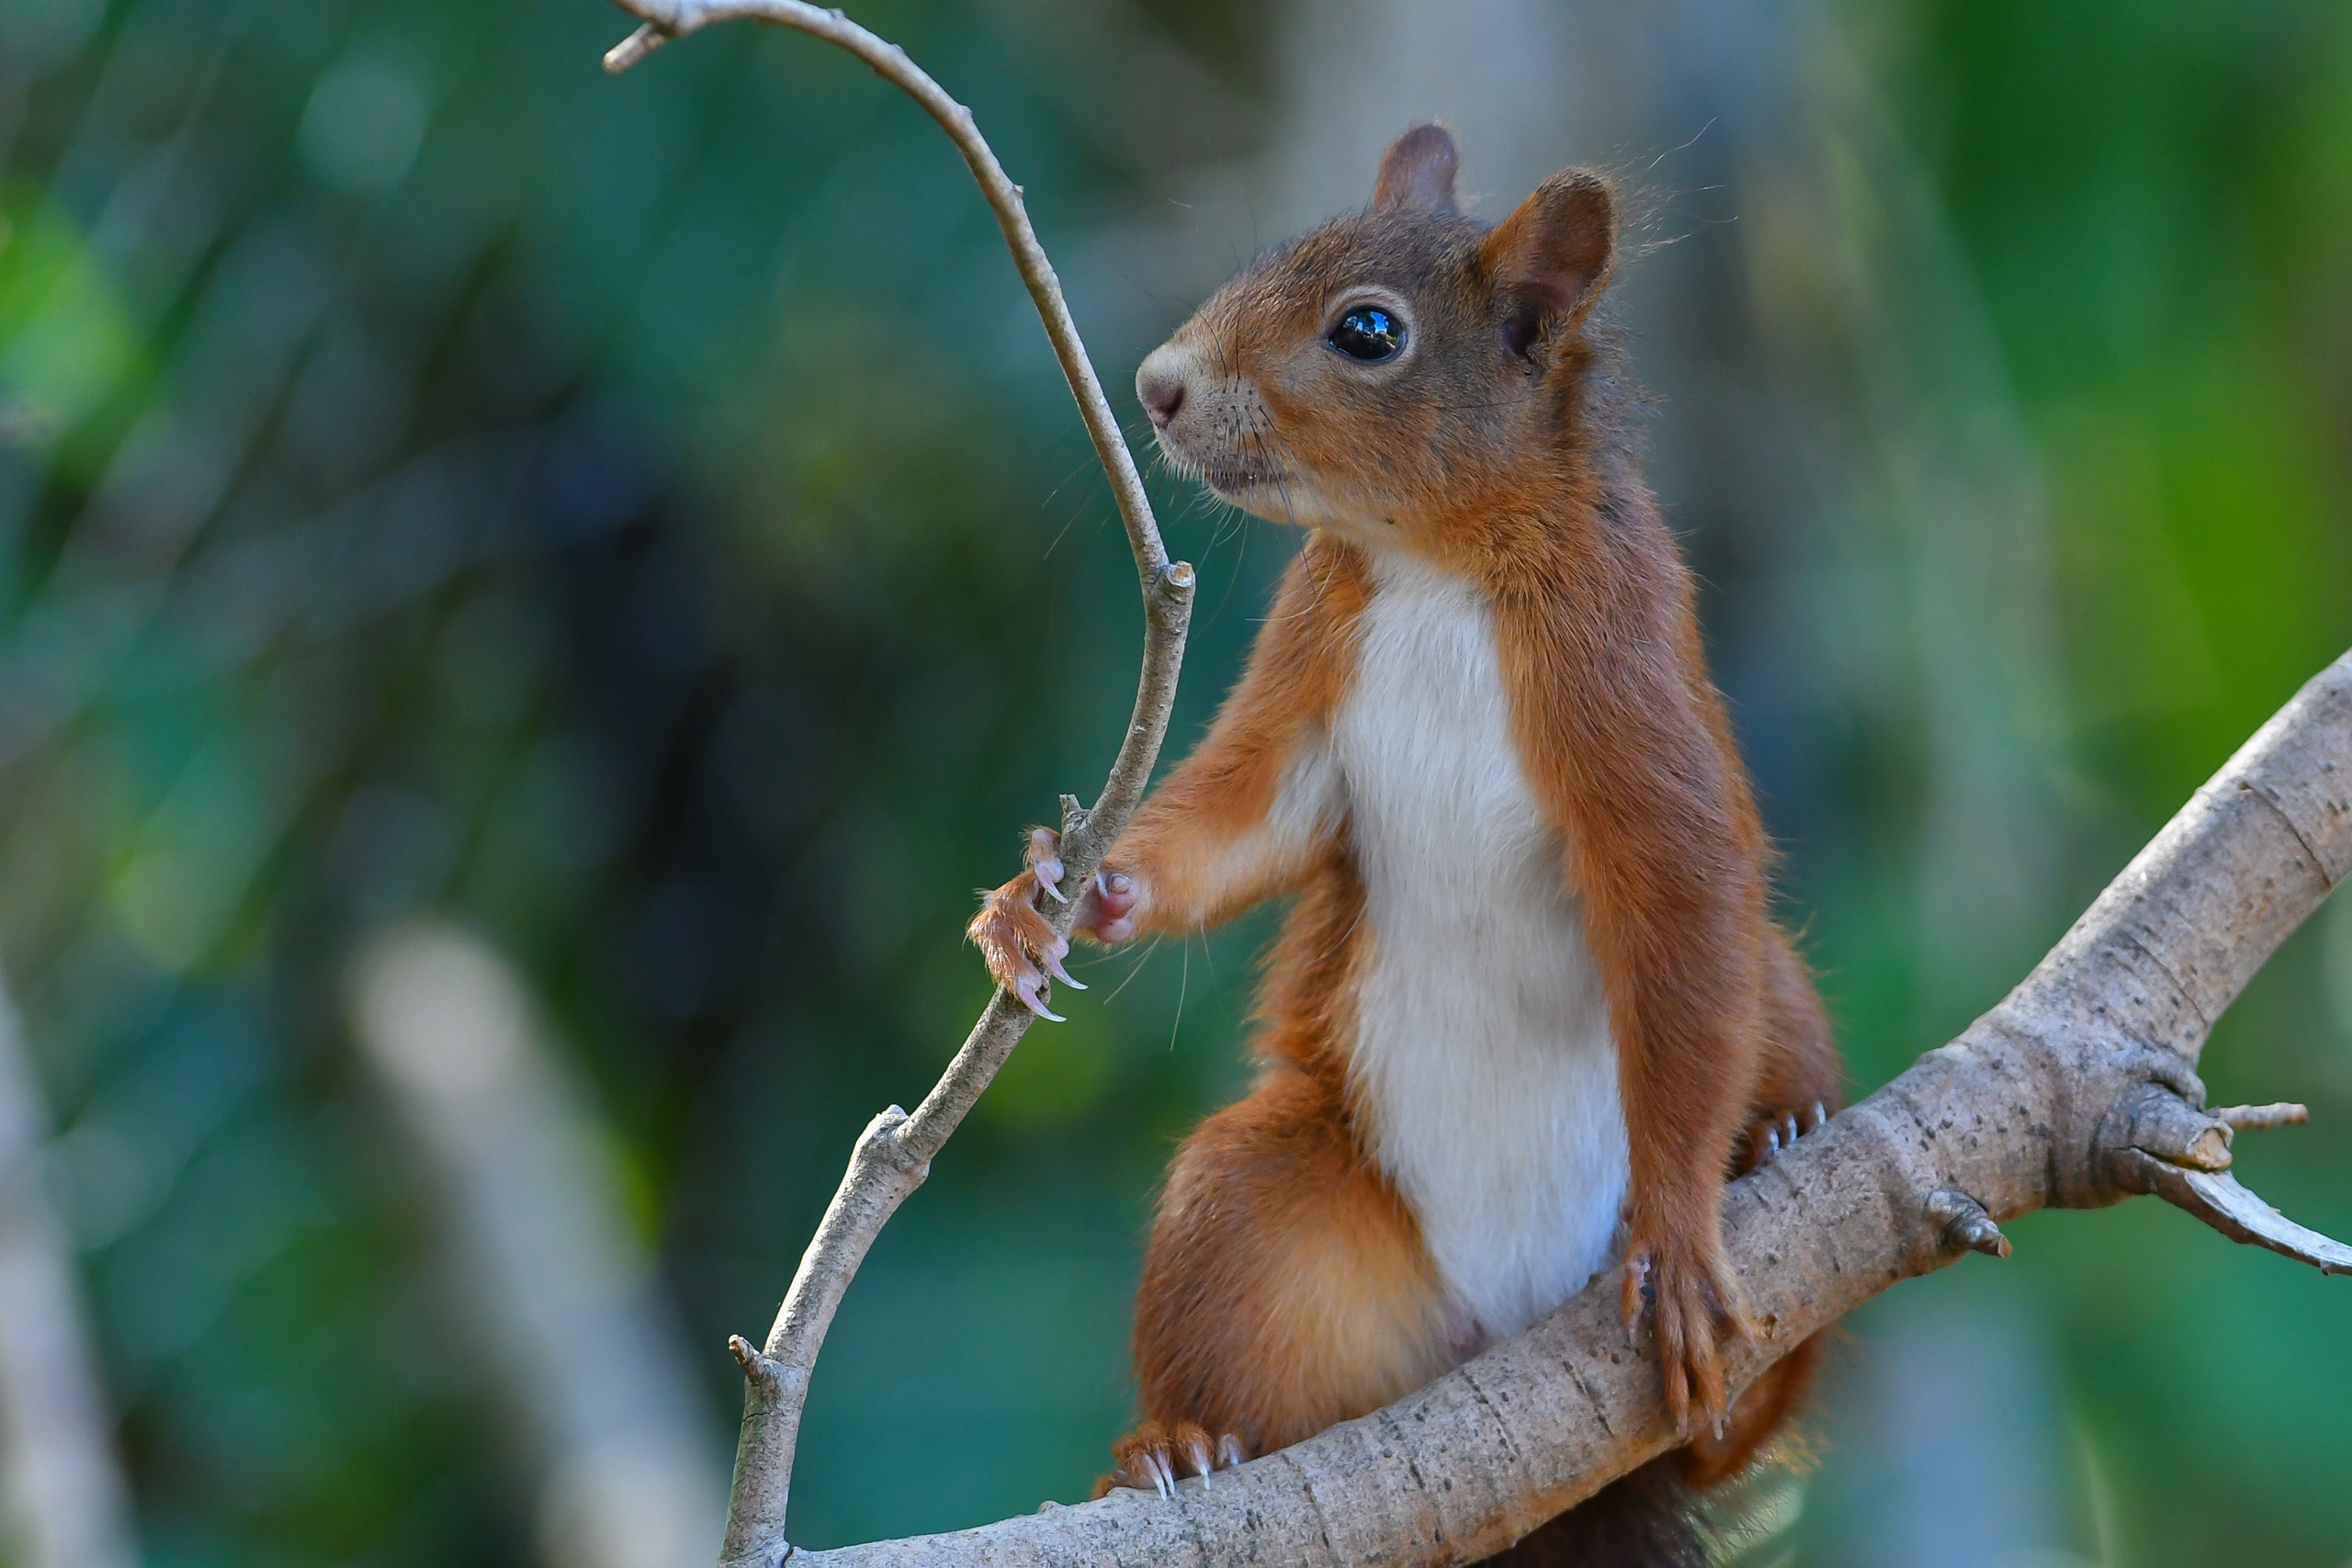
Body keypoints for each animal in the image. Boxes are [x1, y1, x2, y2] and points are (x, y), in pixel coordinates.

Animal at [970, 124, 1844, 1564]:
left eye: (1367, 332)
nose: (1154, 385)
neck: (1434, 563)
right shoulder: (1309, 669)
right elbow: (1237, 823)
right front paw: (1047, 894)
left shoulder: (1626, 675)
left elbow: (1682, 893)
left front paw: (1679, 1227)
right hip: (1264, 1207)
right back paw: (1180, 1444)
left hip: (1778, 1023)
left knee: (1741, 1418)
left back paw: (1779, 1140)